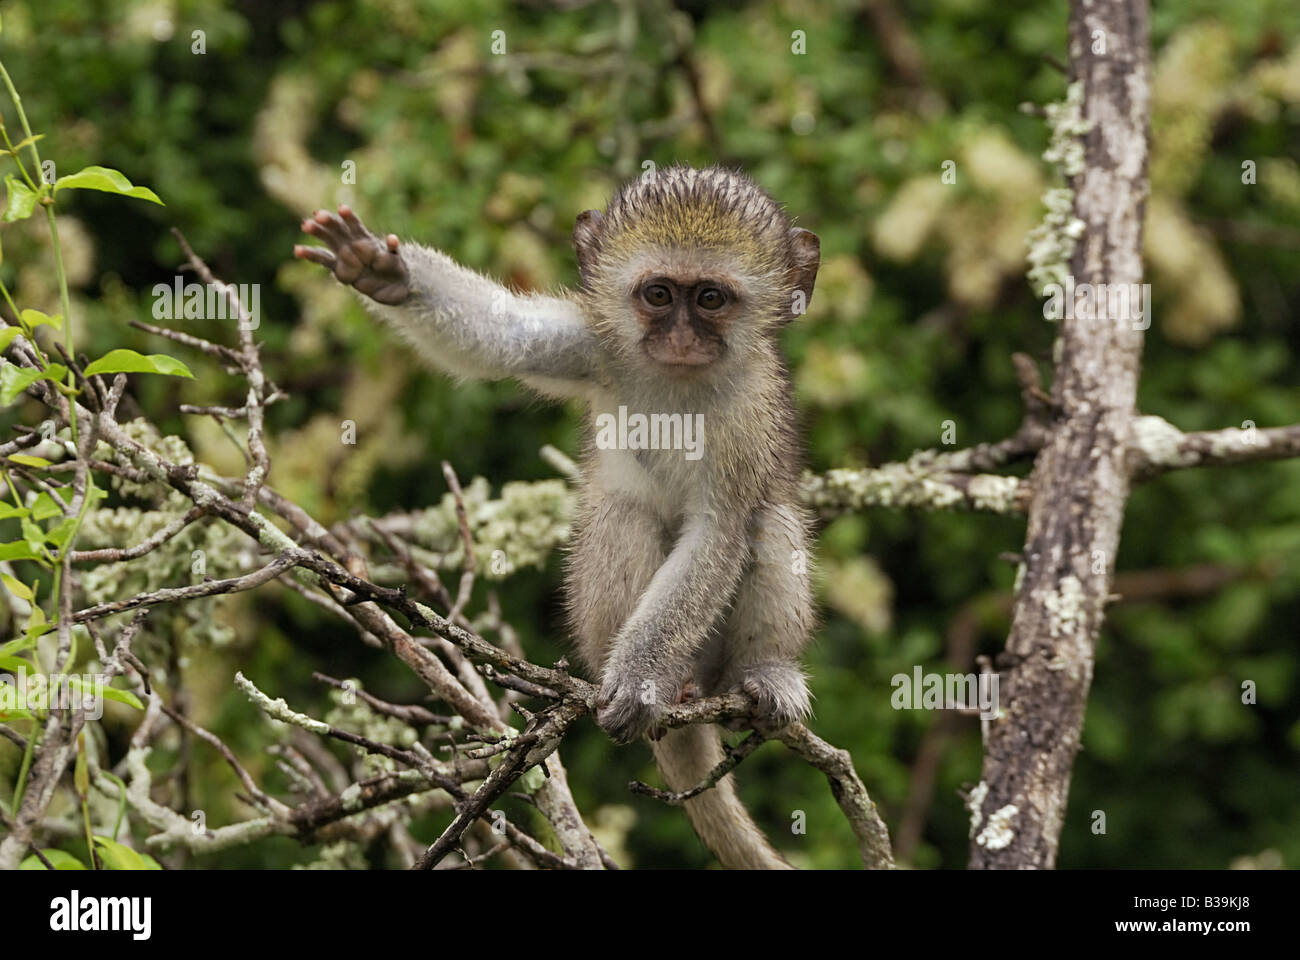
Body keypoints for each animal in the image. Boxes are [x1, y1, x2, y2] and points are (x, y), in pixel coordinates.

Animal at [294, 165, 820, 869]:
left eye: (710, 299)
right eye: (659, 294)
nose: (681, 338)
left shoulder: (750, 411)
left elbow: (721, 530)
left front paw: (640, 682)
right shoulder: (599, 342)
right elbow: (510, 341)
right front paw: (383, 270)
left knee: (768, 521)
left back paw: (756, 677)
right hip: (599, 636)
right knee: (624, 512)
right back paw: (674, 689)